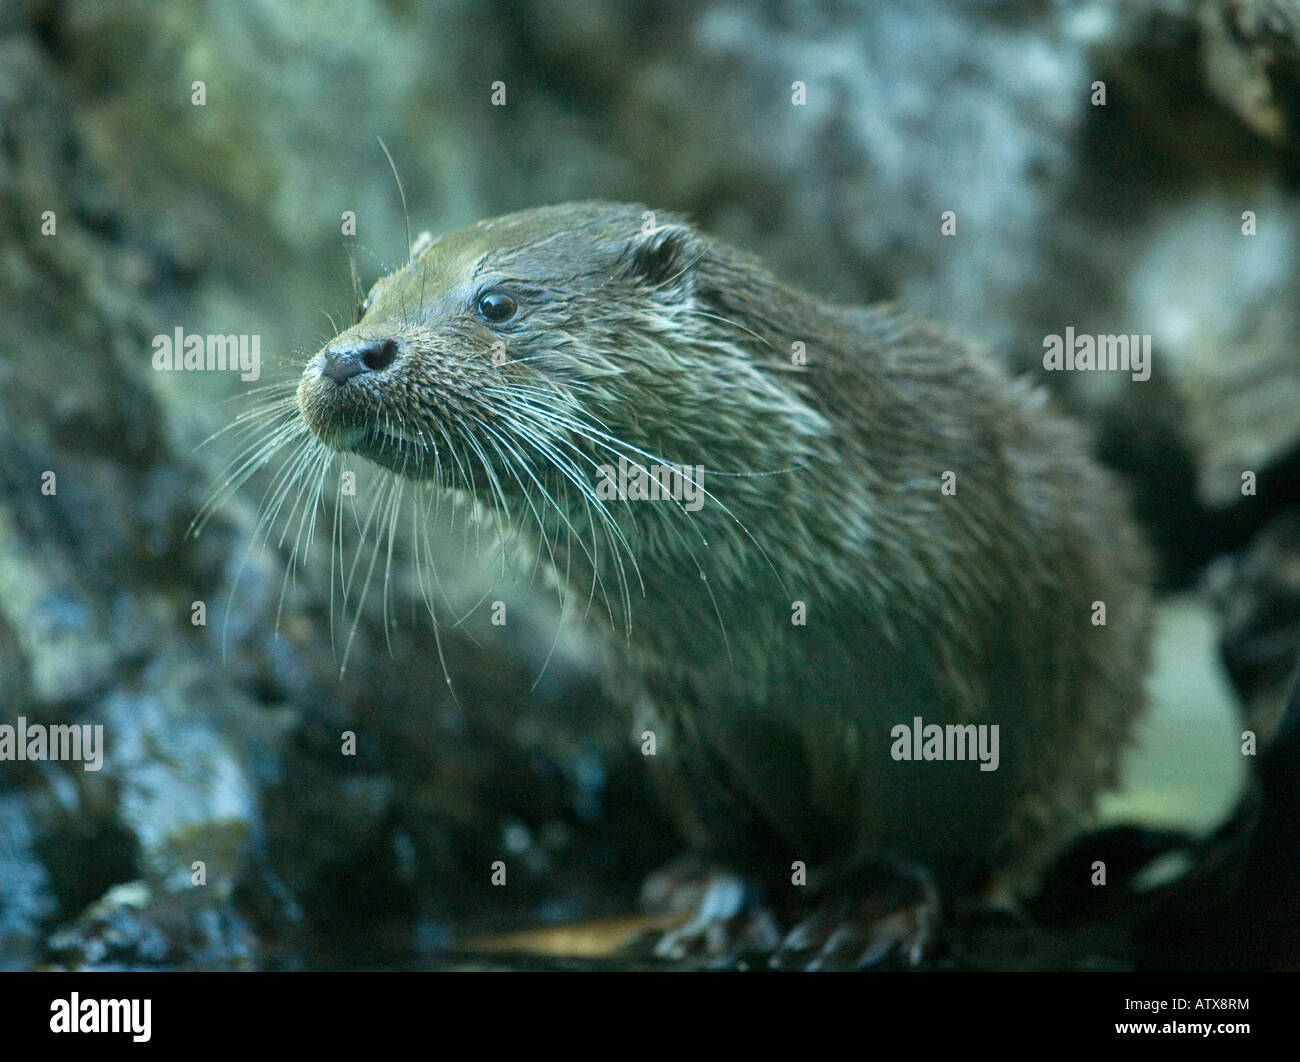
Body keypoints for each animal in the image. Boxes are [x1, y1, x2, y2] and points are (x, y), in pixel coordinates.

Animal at [293, 201, 1151, 968]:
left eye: (497, 302)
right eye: (370, 298)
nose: (349, 353)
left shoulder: (958, 668)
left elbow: (926, 822)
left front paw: (868, 916)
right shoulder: (673, 696)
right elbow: (729, 831)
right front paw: (725, 917)